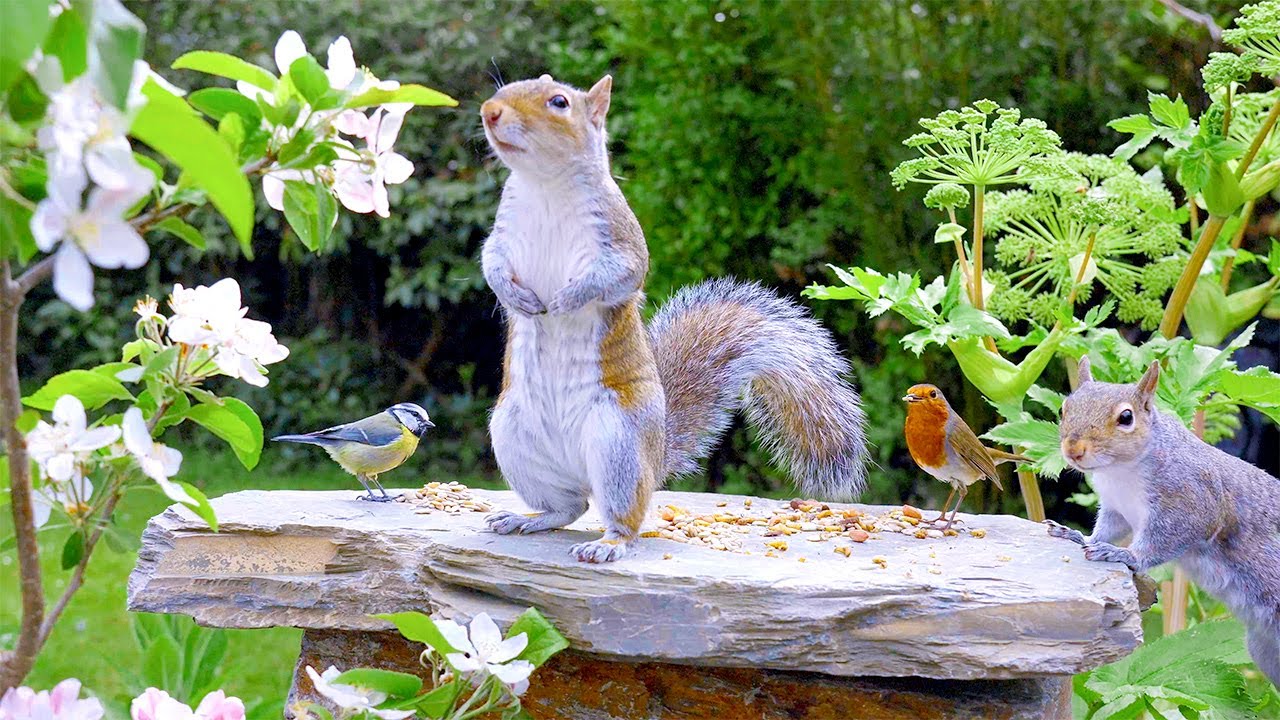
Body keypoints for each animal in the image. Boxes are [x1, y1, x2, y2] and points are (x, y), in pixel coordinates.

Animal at [477, 74, 869, 564]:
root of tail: (655, 454)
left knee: (621, 516)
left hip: (618, 445)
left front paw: (568, 299)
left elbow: (620, 275)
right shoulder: (502, 235)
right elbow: (491, 261)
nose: (489, 111)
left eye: (559, 102)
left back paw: (608, 544)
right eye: (505, 88)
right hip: (512, 436)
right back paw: (527, 518)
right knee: (568, 506)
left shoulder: (621, 240)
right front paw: (516, 296)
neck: (544, 186)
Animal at [1045, 357, 1280, 686]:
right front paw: (1080, 537)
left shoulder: (1189, 504)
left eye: (1126, 417)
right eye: (1063, 409)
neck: (1120, 472)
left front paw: (1123, 554)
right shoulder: (1117, 508)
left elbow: (1160, 544)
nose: (1073, 449)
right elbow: (1107, 529)